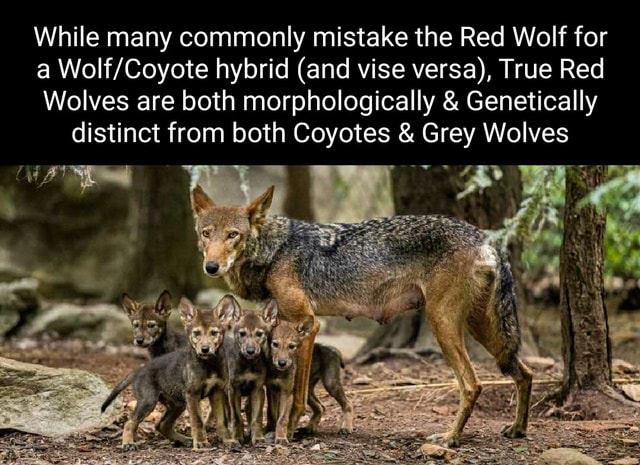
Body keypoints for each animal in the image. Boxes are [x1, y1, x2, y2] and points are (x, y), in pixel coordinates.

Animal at [190, 184, 533, 447]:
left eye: (233, 235)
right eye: (207, 234)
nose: (211, 267)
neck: (275, 251)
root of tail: (484, 237)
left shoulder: (307, 324)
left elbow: (297, 394)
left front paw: (287, 431)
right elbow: (274, 394)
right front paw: (267, 429)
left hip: (443, 324)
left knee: (473, 384)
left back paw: (450, 438)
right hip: (481, 328)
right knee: (524, 372)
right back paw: (517, 429)